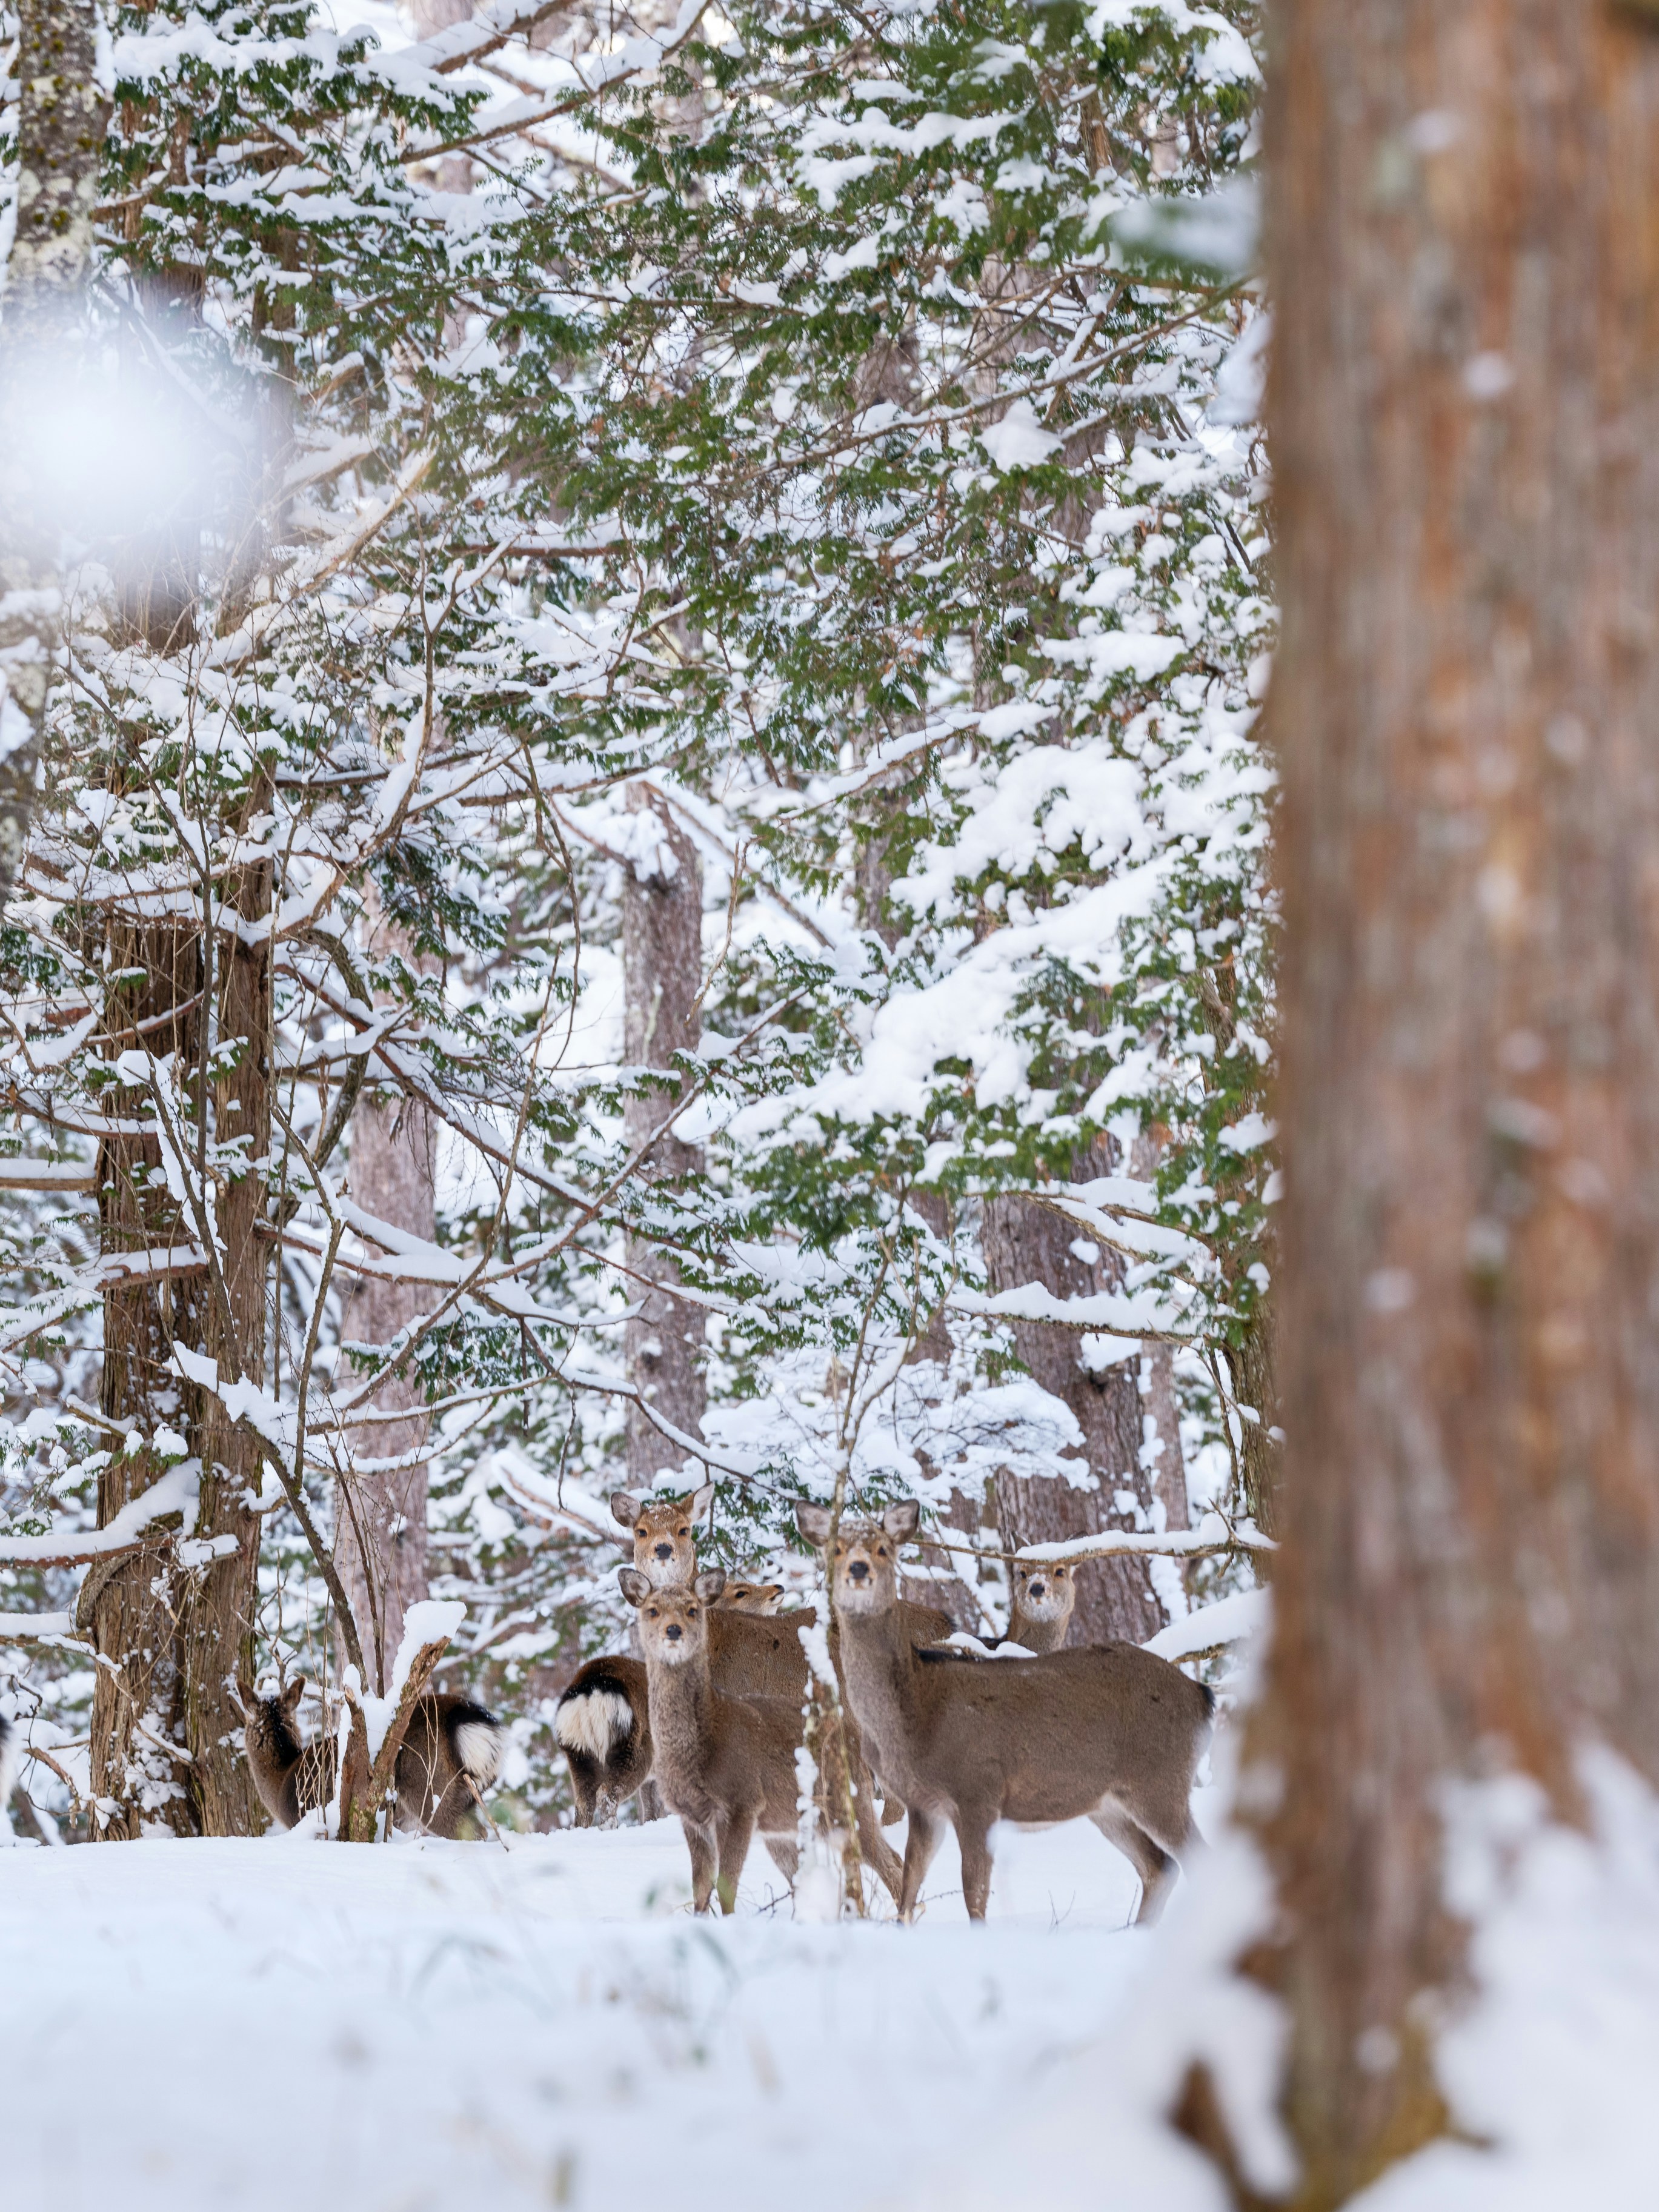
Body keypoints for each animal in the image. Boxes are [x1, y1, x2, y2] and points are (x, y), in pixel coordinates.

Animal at [618, 1564, 901, 1913]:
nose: (673, 1631)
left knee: (885, 1861)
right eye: (652, 1610)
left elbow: (725, 1886)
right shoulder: (693, 1818)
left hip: (843, 1805)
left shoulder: (743, 1804)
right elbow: (701, 1887)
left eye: (692, 1609)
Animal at [797, 1499, 1213, 1925]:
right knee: (1160, 1866)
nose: (858, 1569)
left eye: (883, 1548)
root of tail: (1202, 1696)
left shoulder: (978, 1791)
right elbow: (909, 1891)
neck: (916, 1709)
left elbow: (975, 1895)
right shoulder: (923, 1804)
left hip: (1160, 1780)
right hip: (1109, 1803)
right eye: (835, 1549)